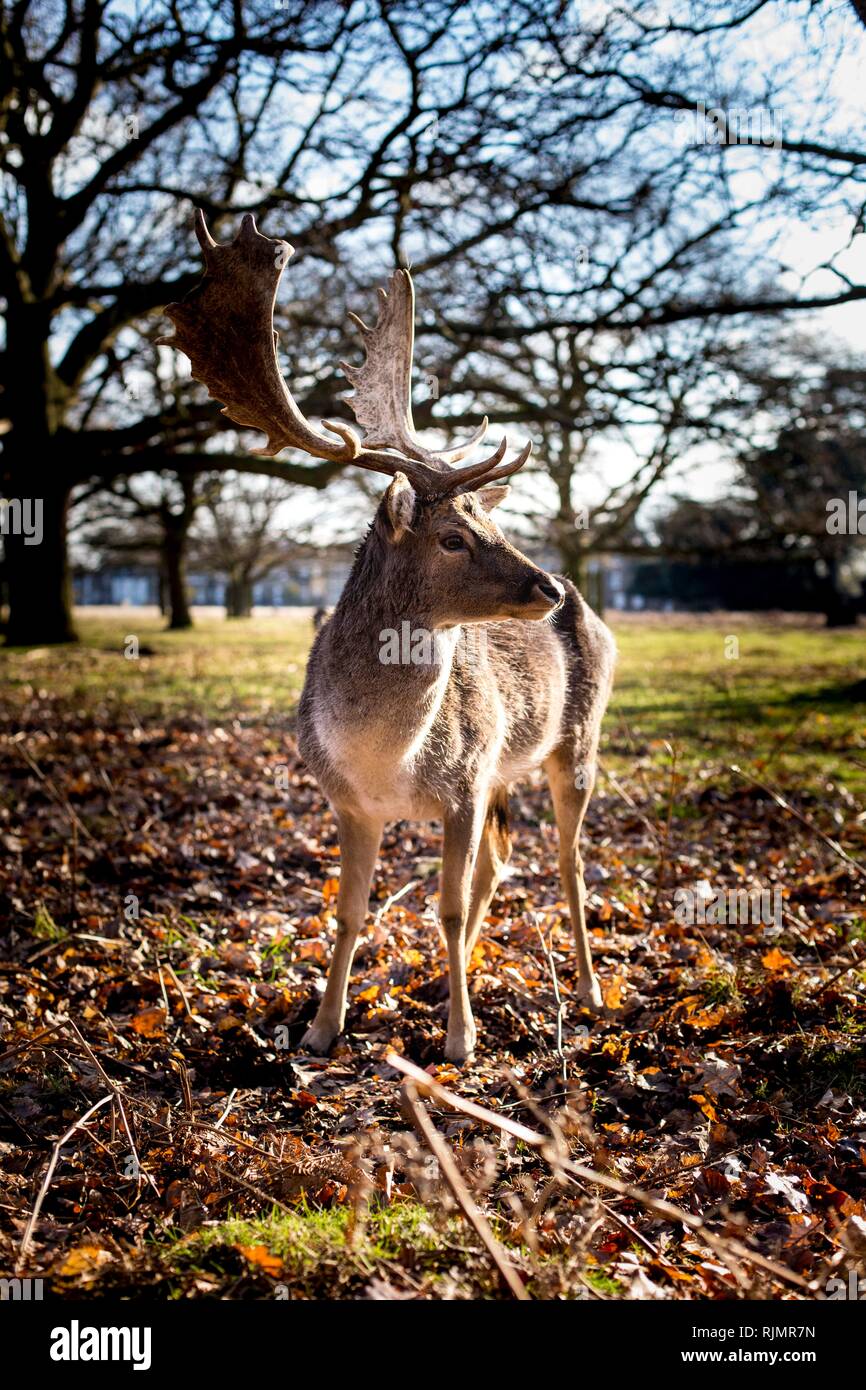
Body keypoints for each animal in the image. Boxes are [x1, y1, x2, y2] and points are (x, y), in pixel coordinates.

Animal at [163, 211, 616, 1061]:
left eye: (486, 521)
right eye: (452, 537)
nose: (547, 588)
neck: (386, 759)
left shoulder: (464, 784)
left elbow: (443, 904)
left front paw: (460, 1042)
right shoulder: (348, 802)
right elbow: (346, 911)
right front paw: (320, 1029)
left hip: (577, 741)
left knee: (570, 863)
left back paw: (588, 989)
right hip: (508, 771)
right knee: (502, 863)